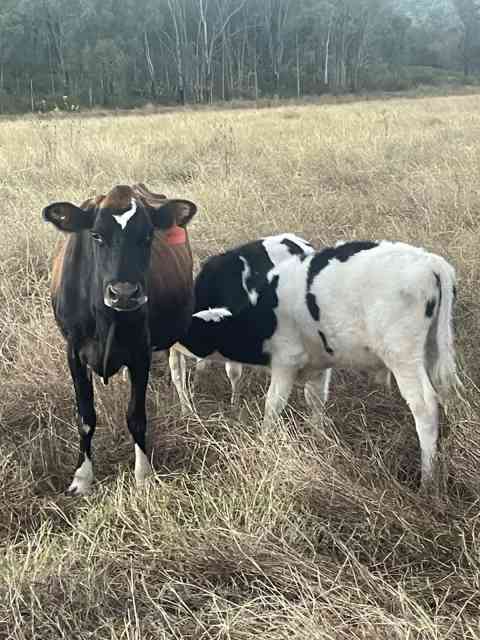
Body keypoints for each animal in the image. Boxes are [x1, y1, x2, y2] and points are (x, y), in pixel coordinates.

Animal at [43, 183, 197, 495]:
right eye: (96, 235)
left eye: (148, 236)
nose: (124, 293)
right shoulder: (74, 352)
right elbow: (85, 417)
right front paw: (82, 477)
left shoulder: (141, 352)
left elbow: (136, 416)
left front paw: (143, 474)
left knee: (177, 368)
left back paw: (187, 407)